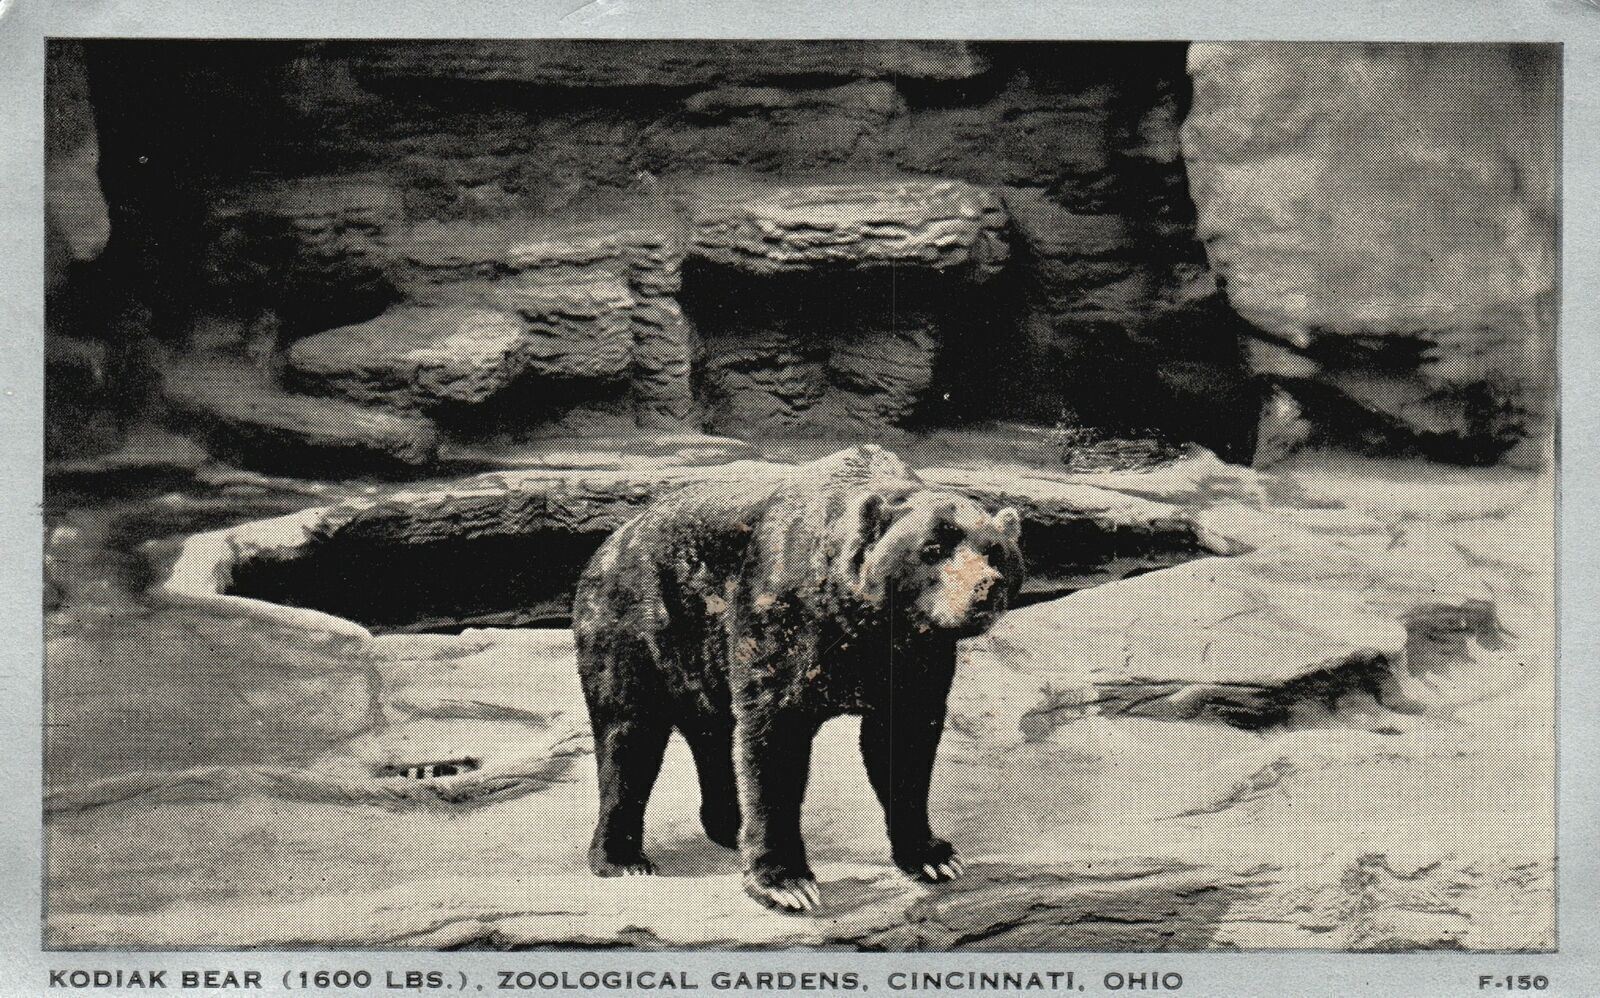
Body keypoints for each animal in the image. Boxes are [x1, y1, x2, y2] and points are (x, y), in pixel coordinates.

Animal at [572, 444, 1024, 912]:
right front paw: (787, 883)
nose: (986, 586)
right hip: (641, 626)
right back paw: (623, 859)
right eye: (932, 548)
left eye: (996, 552)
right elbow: (775, 740)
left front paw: (934, 857)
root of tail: (611, 540)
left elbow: (904, 739)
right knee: (630, 733)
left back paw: (727, 824)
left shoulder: (917, 656)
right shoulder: (782, 619)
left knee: (711, 732)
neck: (864, 621)